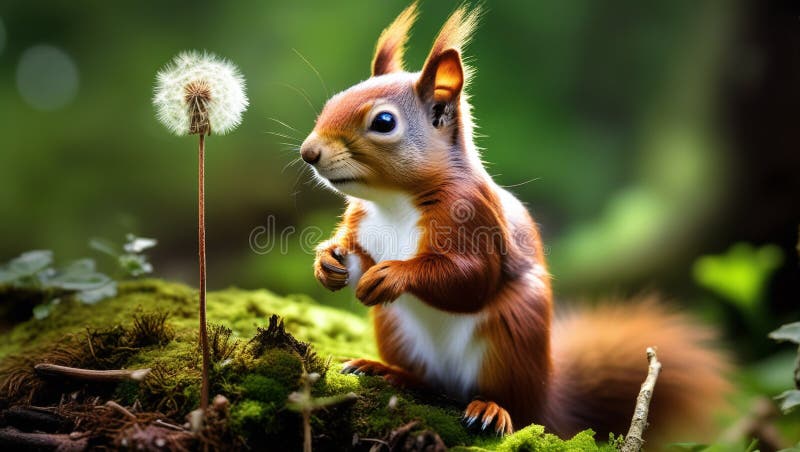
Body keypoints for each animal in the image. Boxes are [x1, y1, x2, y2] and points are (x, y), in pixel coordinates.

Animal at [298, 3, 729, 443]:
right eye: (333, 101)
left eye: (384, 122)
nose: (308, 152)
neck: (394, 201)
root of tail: (547, 396)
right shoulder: (361, 221)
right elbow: (355, 254)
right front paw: (328, 261)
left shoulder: (473, 219)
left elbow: (470, 280)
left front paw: (394, 274)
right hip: (395, 327)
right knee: (426, 381)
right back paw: (385, 371)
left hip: (511, 335)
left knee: (514, 406)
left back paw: (491, 409)